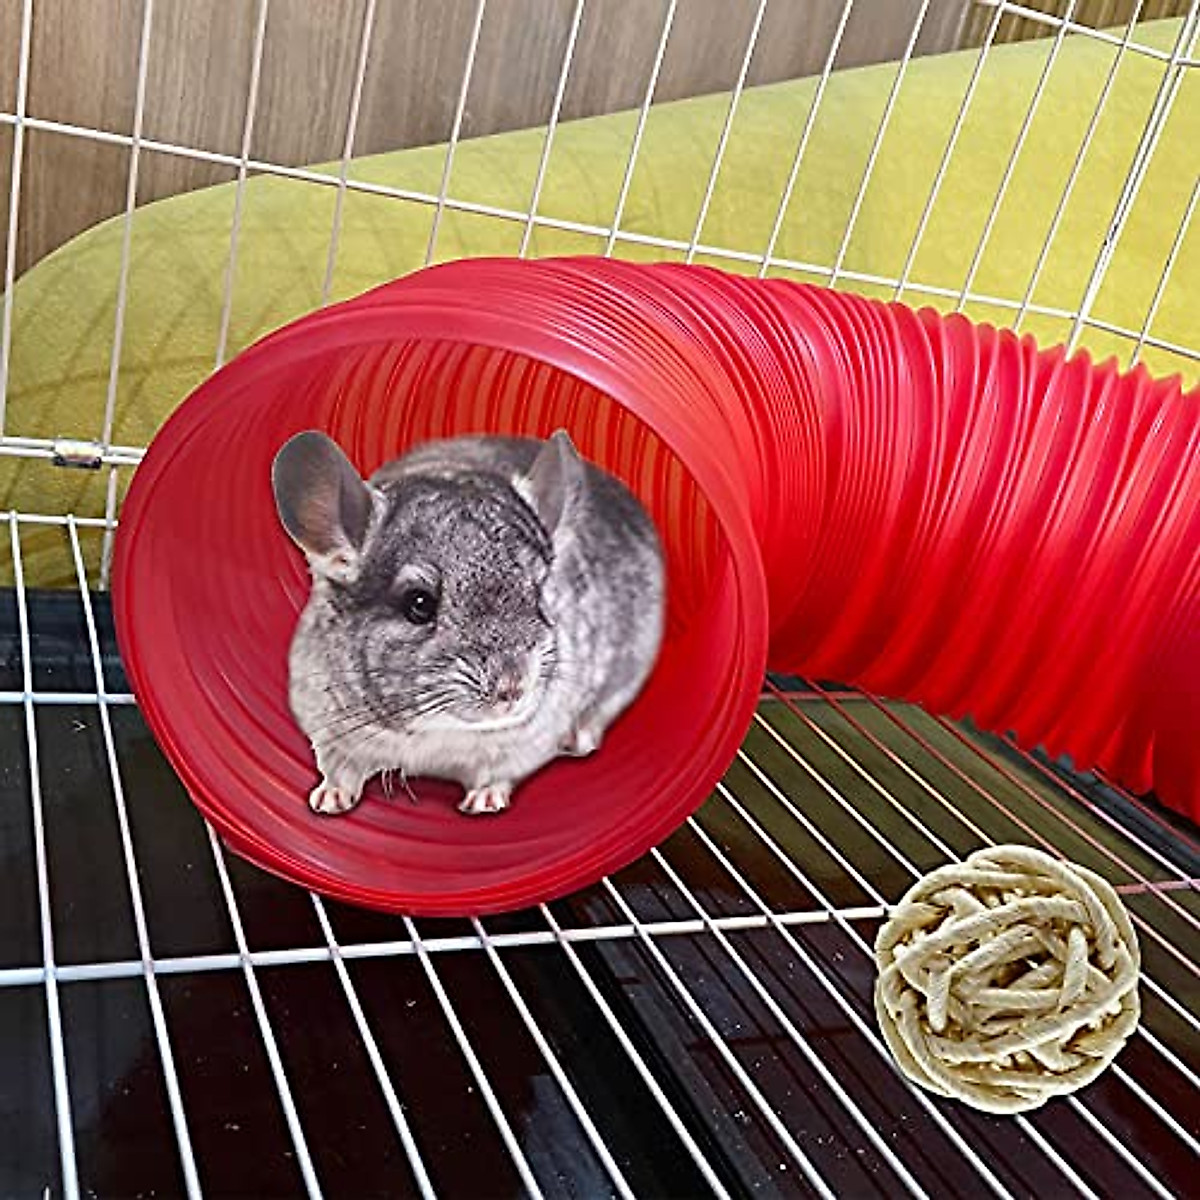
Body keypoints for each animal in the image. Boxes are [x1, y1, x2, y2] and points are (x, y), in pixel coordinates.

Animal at [271, 429, 665, 816]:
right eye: (419, 603)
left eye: (539, 594)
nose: (513, 687)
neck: (437, 732)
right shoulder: (324, 725)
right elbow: (339, 769)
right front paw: (327, 800)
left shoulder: (525, 744)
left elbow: (496, 773)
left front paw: (483, 803)